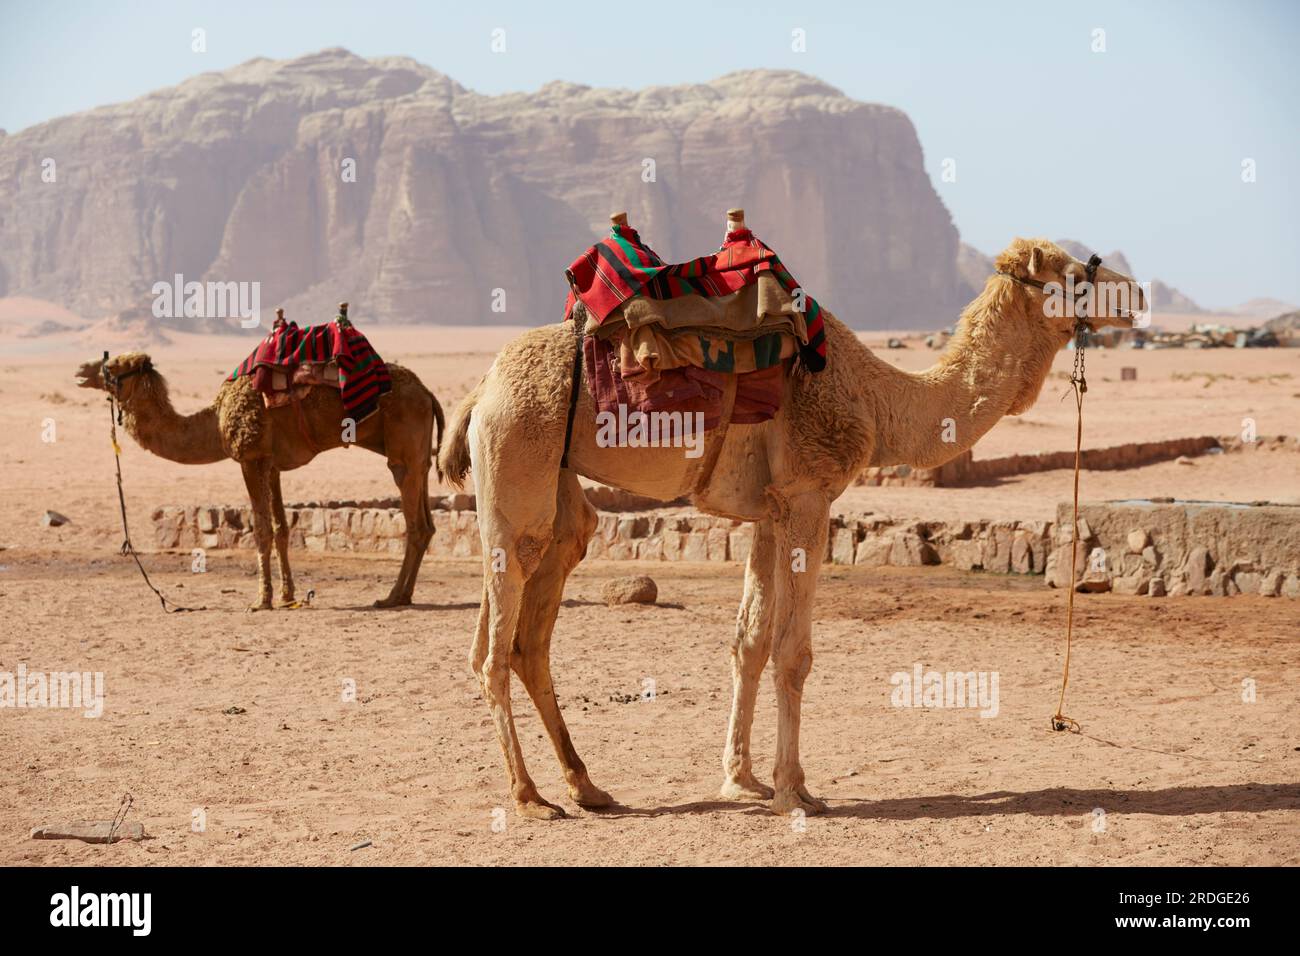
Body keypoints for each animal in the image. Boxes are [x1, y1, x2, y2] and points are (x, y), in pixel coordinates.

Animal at [76, 348, 444, 610]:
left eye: (115, 363)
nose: (80, 371)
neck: (214, 421)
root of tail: (428, 392)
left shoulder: (250, 459)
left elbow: (262, 530)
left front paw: (261, 600)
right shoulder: (272, 465)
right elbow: (281, 529)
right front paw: (287, 596)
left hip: (403, 445)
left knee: (414, 521)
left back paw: (392, 596)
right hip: (420, 455)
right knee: (426, 520)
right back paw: (404, 594)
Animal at [438, 231, 1142, 820]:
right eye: (1073, 274)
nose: (1135, 296)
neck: (878, 402)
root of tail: (479, 391)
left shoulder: (770, 511)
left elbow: (749, 643)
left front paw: (743, 780)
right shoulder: (808, 496)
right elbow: (793, 653)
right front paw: (793, 793)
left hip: (554, 491)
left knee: (533, 627)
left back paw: (588, 786)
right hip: (517, 460)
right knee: (494, 644)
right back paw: (530, 798)